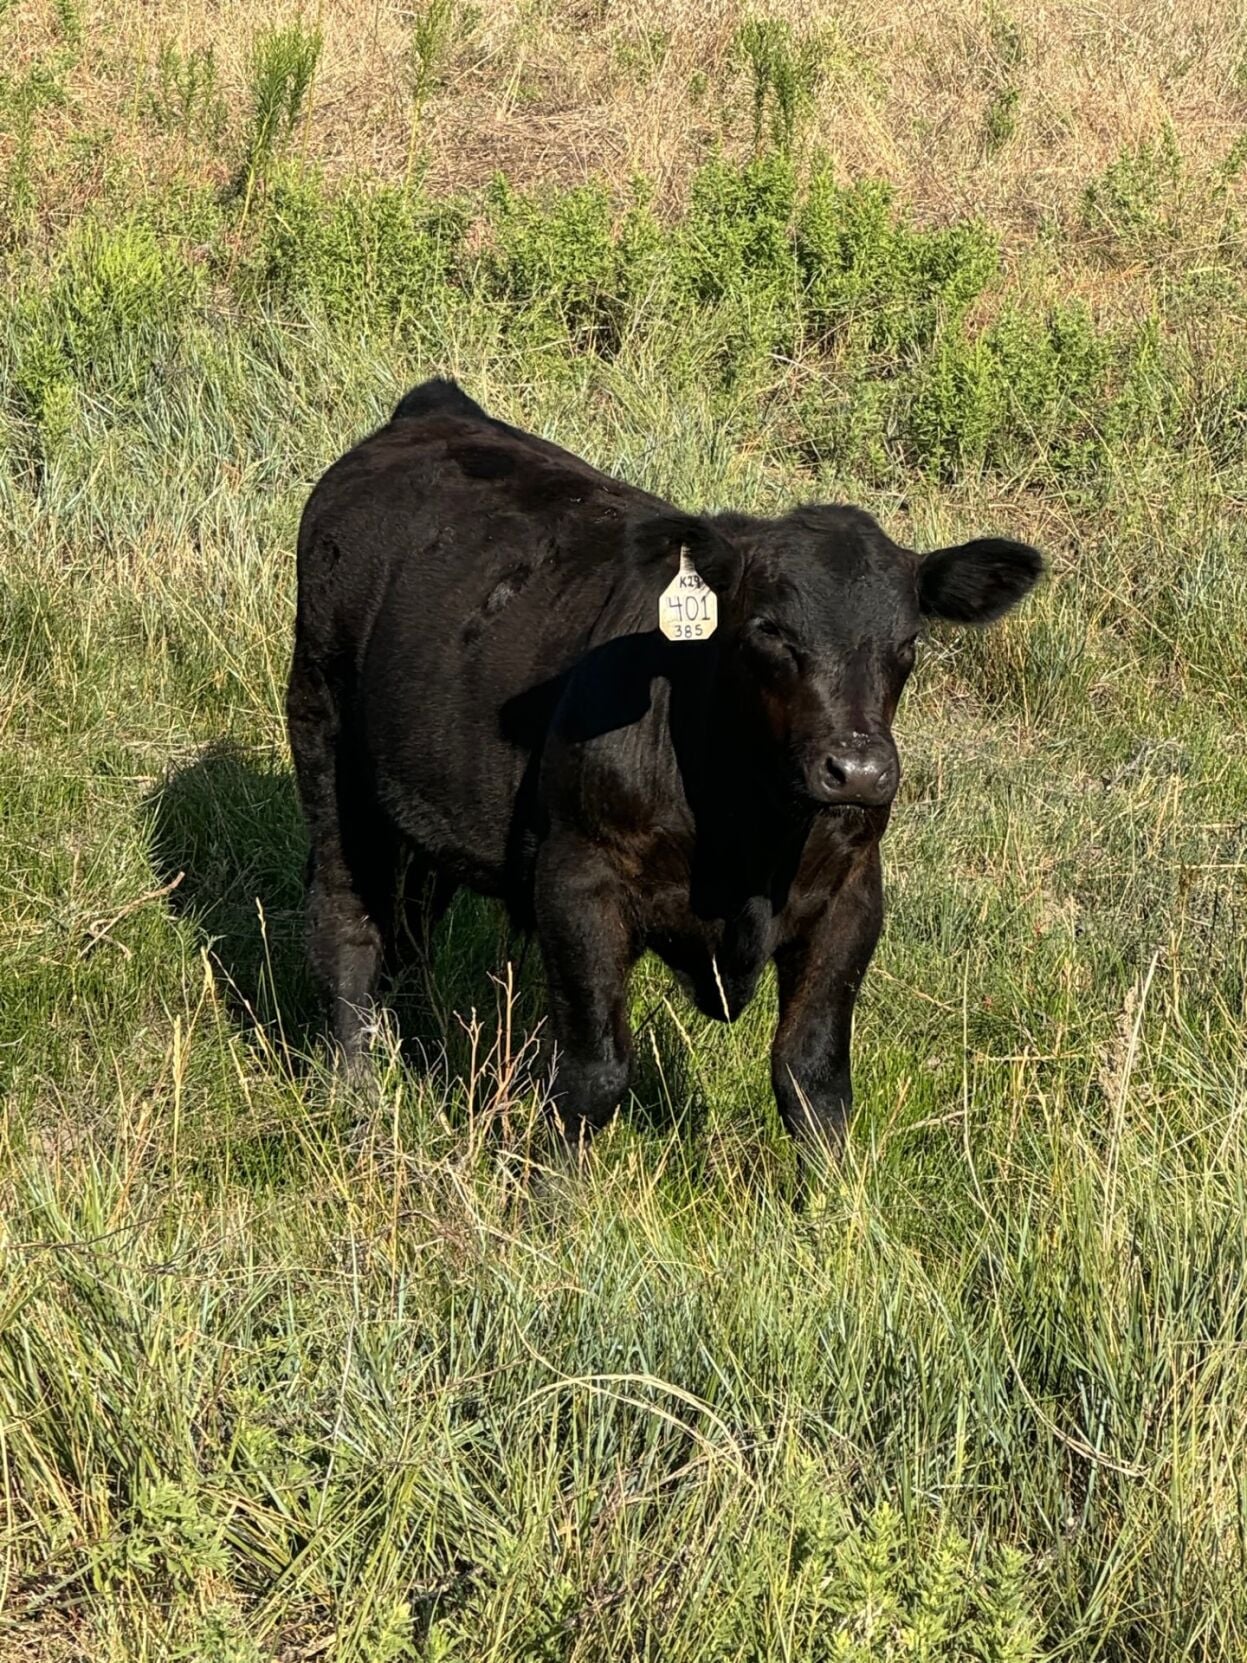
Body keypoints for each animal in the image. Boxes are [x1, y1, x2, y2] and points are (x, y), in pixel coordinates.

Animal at [286, 377, 1042, 1186]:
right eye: (769, 629)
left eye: (908, 642)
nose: (858, 770)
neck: (750, 838)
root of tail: (436, 408)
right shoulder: (577, 881)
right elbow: (595, 1071)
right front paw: (552, 1194)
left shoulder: (851, 896)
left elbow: (812, 1075)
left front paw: (833, 1204)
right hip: (325, 731)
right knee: (348, 917)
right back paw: (358, 1097)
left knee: (414, 917)